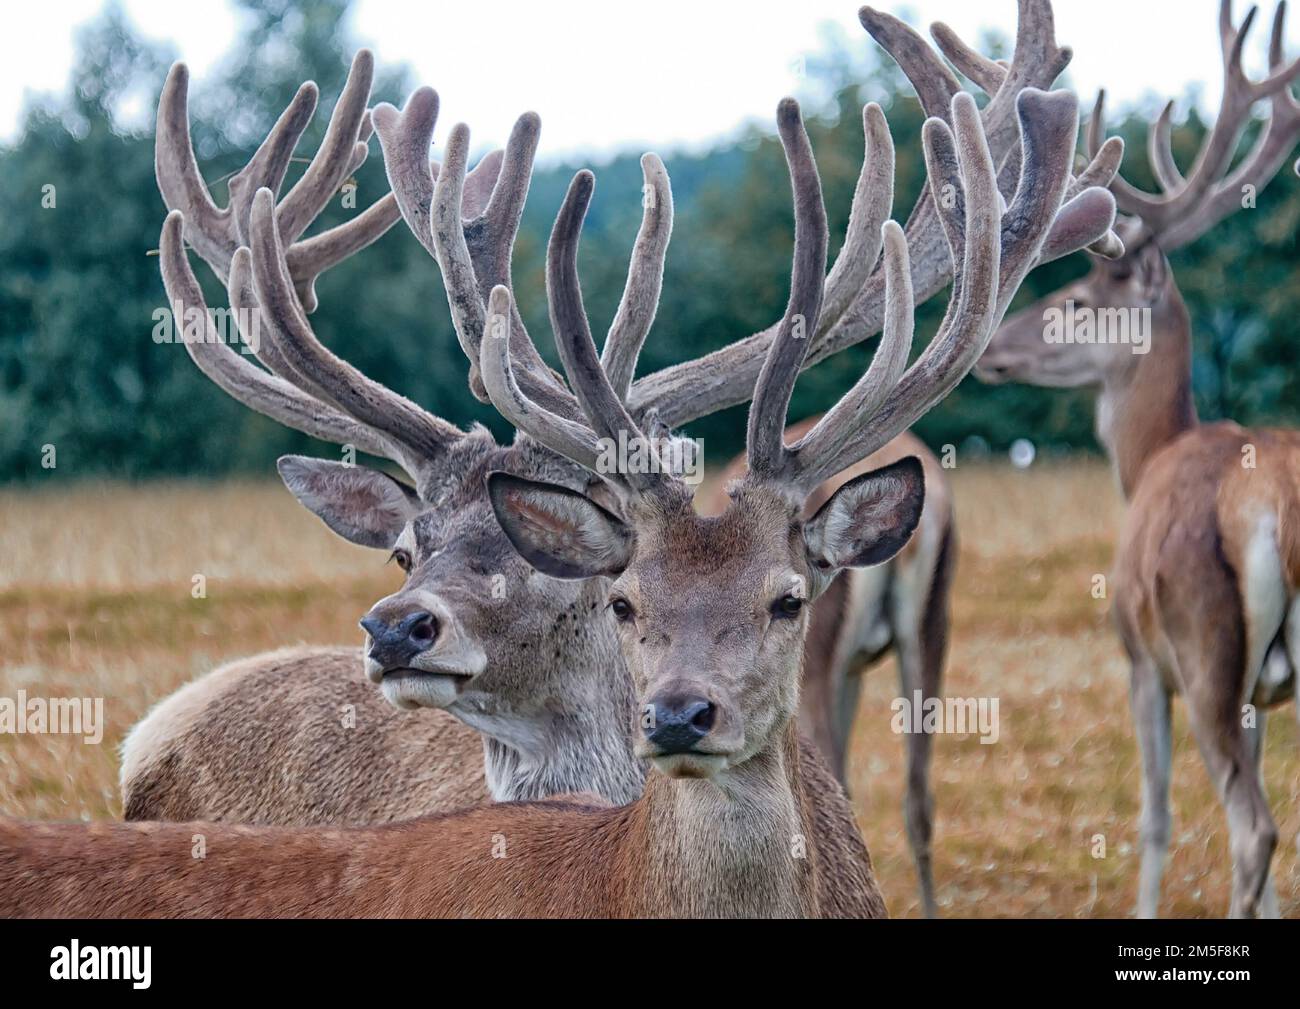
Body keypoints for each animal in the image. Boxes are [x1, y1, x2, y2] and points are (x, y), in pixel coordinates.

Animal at [976, 0, 1300, 919]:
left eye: (1083, 299)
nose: (994, 347)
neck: (1150, 452)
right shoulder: (1265, 692)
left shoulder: (1138, 653)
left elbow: (1155, 815)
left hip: (1201, 640)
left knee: (1253, 828)